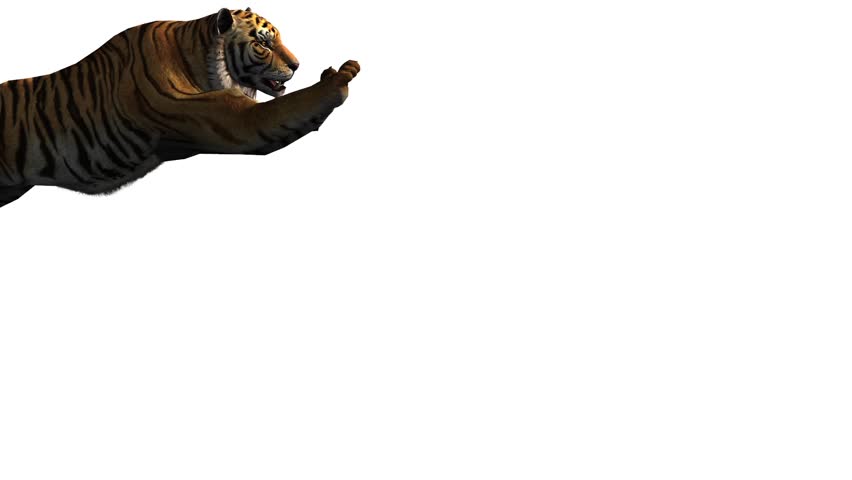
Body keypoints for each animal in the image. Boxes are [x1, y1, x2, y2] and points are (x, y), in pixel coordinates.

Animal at [0, 7, 360, 208]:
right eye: (262, 43)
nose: (297, 65)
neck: (196, 53)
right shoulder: (228, 117)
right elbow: (290, 108)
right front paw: (338, 78)